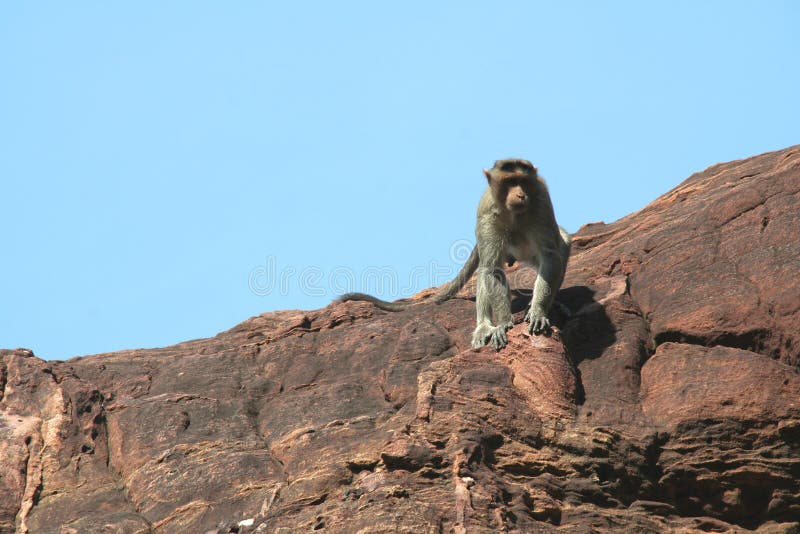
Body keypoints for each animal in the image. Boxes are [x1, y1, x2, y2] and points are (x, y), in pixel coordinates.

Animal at [338, 159, 571, 350]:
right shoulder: (487, 214)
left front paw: (538, 310)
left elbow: (551, 255)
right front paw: (504, 323)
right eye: (510, 182)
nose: (520, 194)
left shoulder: (541, 203)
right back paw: (484, 326)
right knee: (485, 269)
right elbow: (492, 270)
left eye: (522, 181)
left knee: (563, 245)